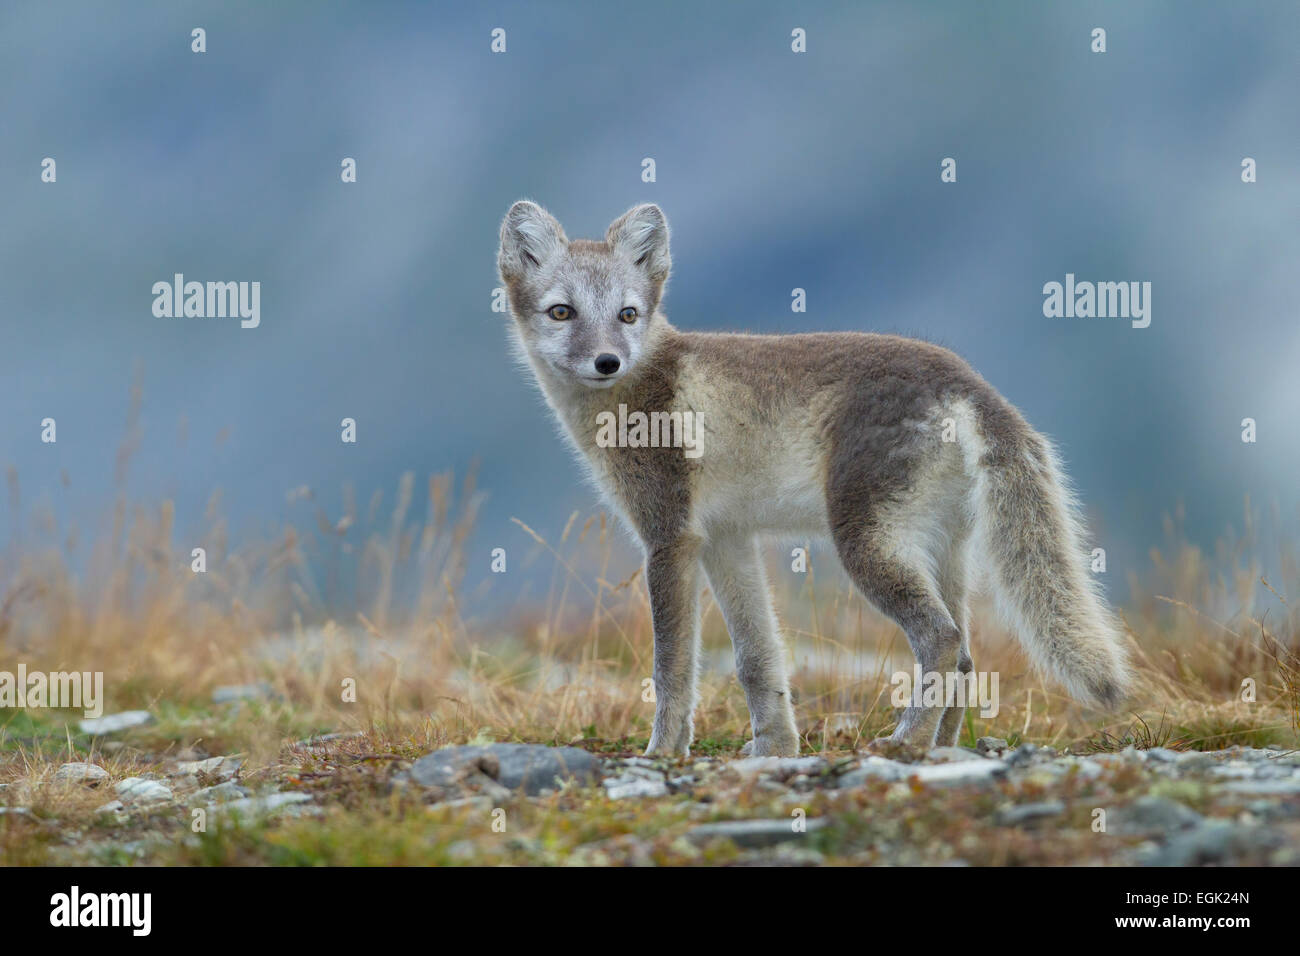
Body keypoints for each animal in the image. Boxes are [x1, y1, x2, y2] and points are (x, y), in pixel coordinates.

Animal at [497, 199, 1133, 757]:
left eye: (627, 314)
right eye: (562, 312)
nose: (608, 362)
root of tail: (971, 383)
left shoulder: (669, 537)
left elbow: (672, 668)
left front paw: (662, 752)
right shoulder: (726, 539)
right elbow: (758, 660)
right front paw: (774, 748)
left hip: (868, 543)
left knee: (943, 639)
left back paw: (904, 742)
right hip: (941, 551)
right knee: (968, 656)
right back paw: (942, 746)